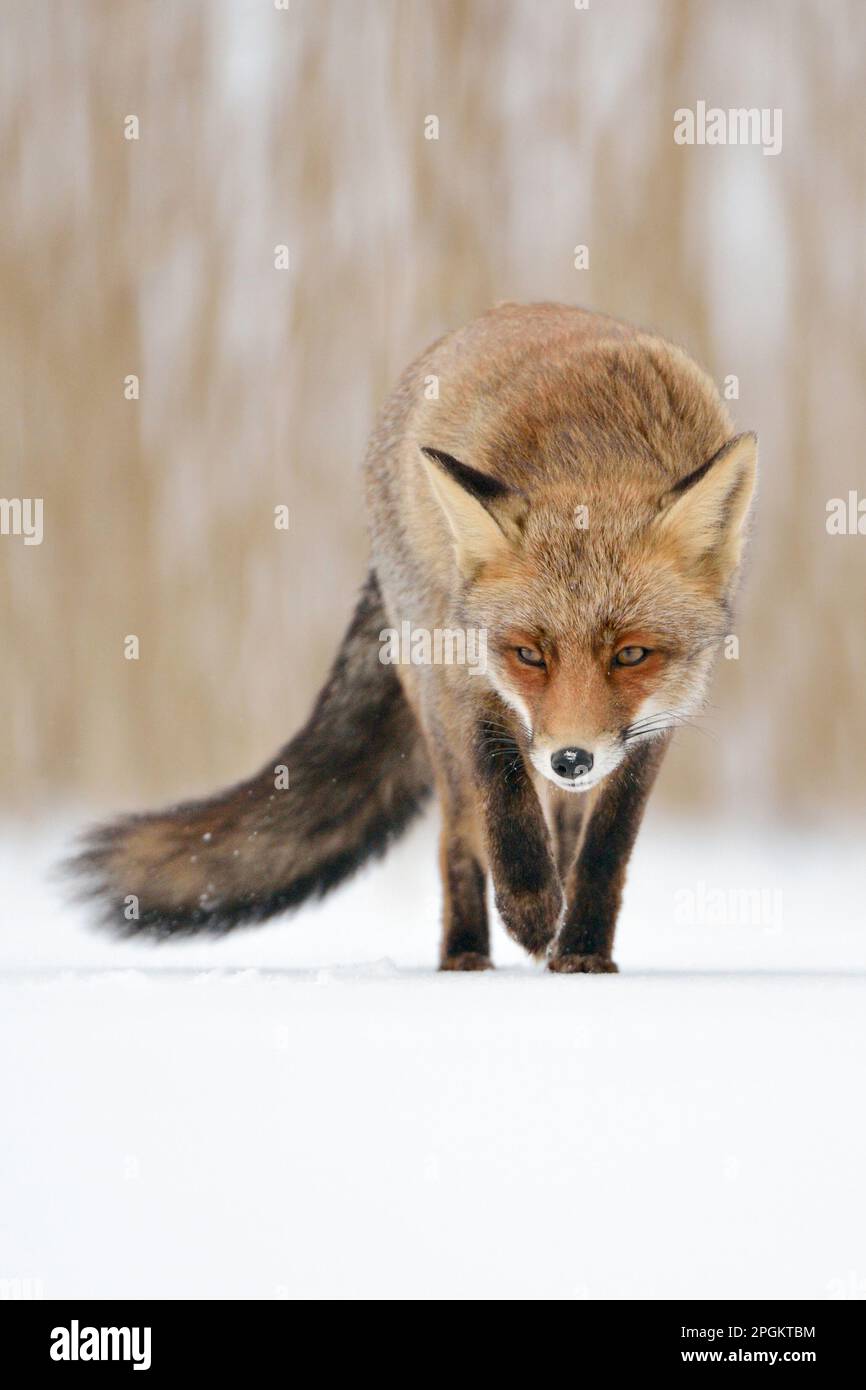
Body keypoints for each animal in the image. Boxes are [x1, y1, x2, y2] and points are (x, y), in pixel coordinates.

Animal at [69, 302, 757, 972]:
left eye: (633, 654)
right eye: (528, 654)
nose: (571, 759)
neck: (595, 451)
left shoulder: (657, 723)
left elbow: (605, 847)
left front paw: (582, 947)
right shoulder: (468, 678)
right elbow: (505, 806)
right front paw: (531, 910)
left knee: (560, 830)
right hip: (434, 695)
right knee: (459, 837)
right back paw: (465, 955)